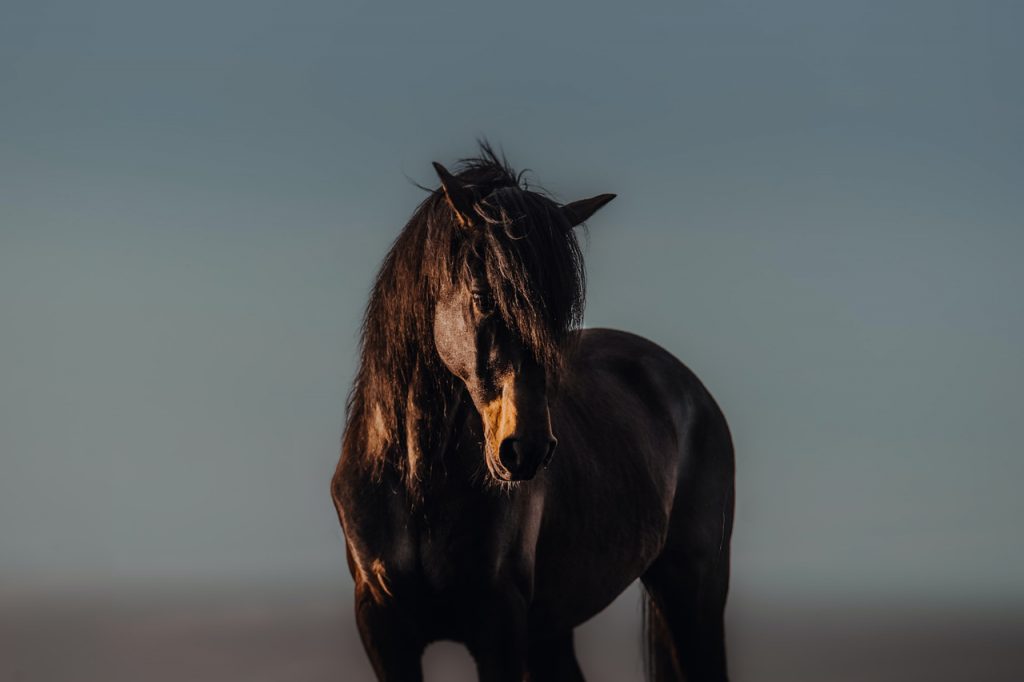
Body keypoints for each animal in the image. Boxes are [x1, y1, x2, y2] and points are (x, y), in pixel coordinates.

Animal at [331, 144, 735, 681]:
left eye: (558, 313)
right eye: (483, 297)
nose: (526, 450)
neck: (416, 483)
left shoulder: (500, 623)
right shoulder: (383, 627)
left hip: (694, 591)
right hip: (553, 628)